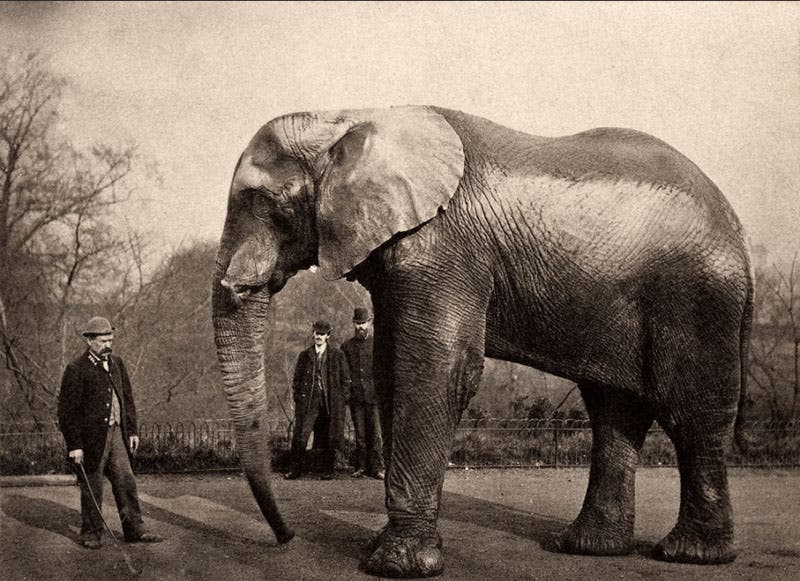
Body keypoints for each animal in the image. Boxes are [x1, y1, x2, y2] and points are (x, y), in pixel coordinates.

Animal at [212, 106, 753, 578]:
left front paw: (394, 566)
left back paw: (690, 554)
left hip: (696, 296)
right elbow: (391, 369)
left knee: (689, 411)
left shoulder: (445, 246)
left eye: (265, 204)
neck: (347, 116)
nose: (287, 538)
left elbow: (439, 368)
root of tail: (739, 227)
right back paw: (588, 547)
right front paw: (385, 550)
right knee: (615, 411)